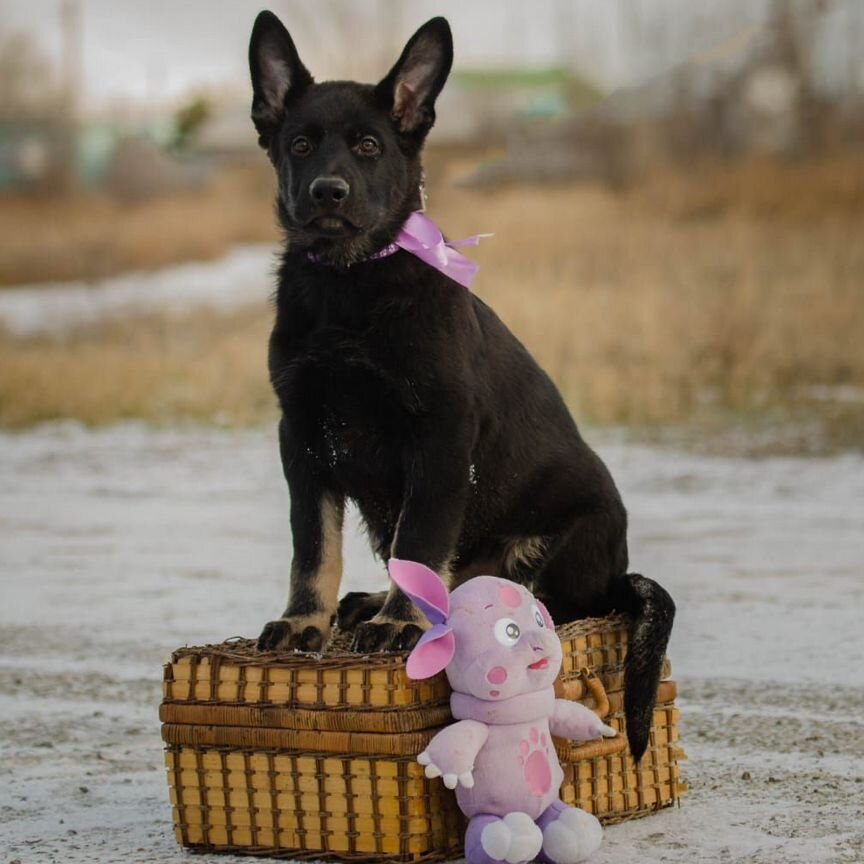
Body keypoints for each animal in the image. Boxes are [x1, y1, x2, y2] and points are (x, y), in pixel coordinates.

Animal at [250, 10, 676, 760]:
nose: (327, 192)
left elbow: (419, 540)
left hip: (540, 549)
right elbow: (313, 545)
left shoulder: (440, 435)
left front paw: (399, 625)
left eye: (368, 146)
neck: (350, 285)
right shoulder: (300, 433)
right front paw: (305, 622)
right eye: (299, 144)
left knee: (515, 595)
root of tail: (614, 576)